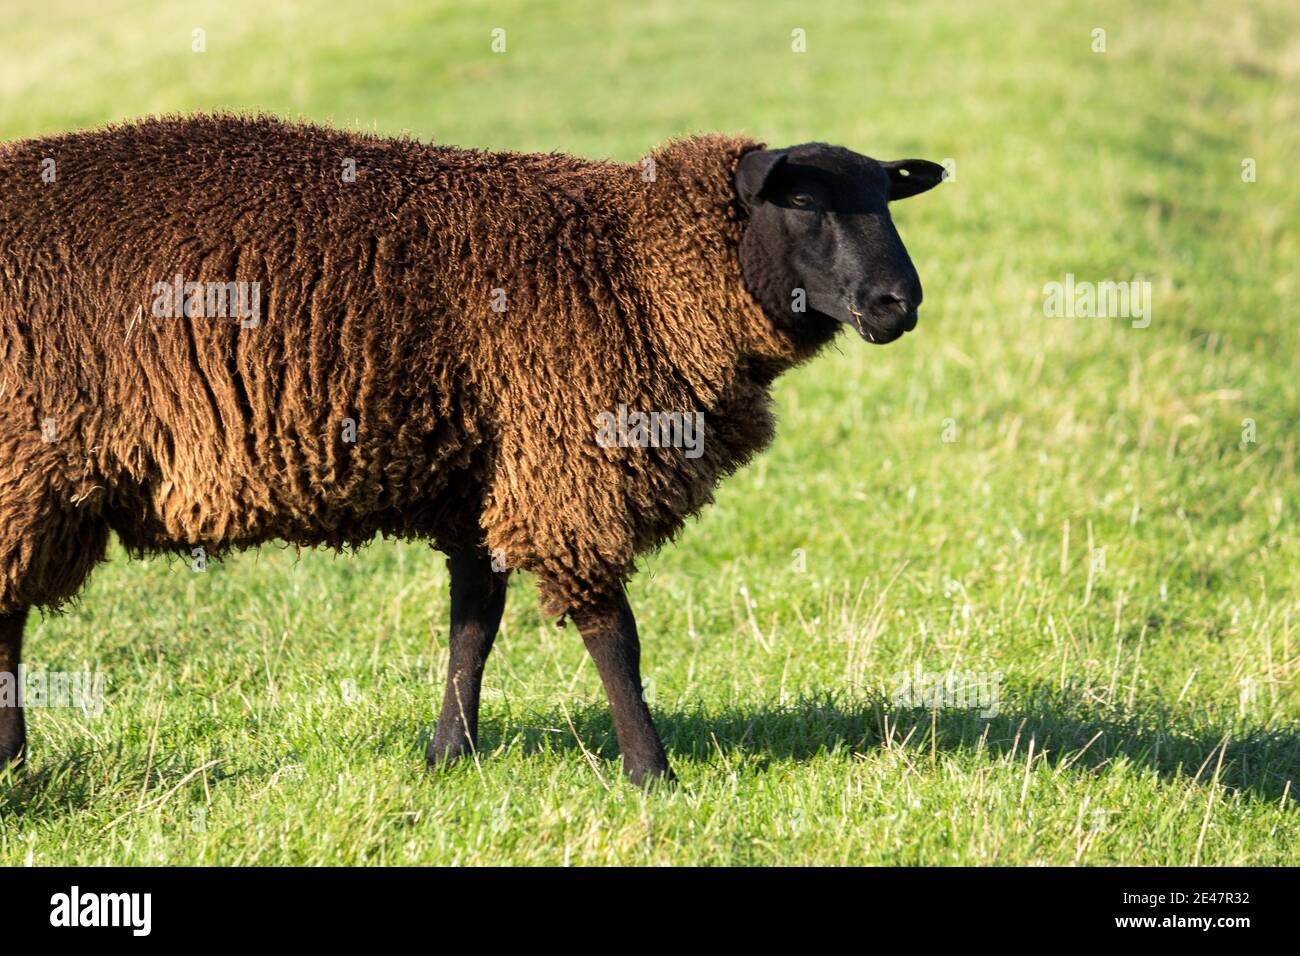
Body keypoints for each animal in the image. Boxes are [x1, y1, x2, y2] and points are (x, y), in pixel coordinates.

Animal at [0, 115, 944, 784]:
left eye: (887, 198)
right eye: (804, 202)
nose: (899, 304)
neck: (635, 269)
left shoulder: (484, 473)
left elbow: (473, 625)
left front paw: (448, 756)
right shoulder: (567, 462)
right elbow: (614, 635)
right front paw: (652, 772)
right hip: (27, 463)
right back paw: (14, 759)